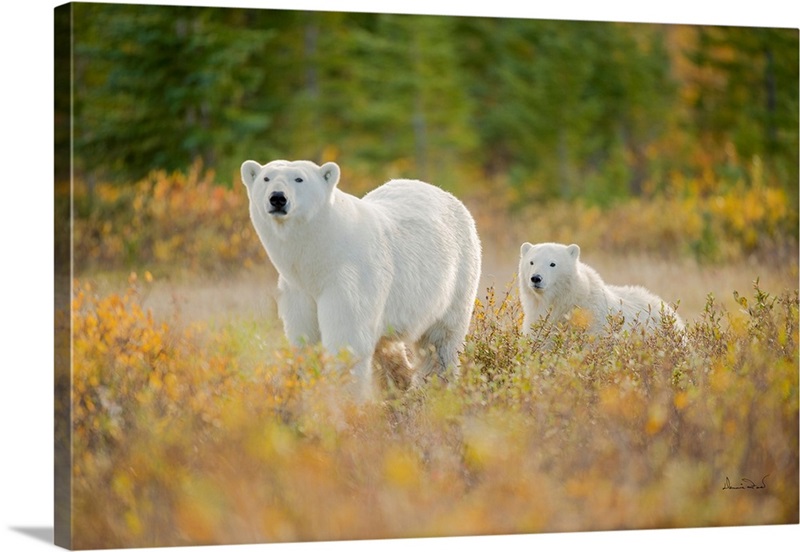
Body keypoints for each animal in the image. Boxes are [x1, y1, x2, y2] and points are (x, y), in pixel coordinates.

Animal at [241, 159, 482, 401]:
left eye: (299, 178)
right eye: (266, 178)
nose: (277, 198)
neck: (319, 252)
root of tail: (446, 194)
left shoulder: (349, 276)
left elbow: (347, 338)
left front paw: (344, 398)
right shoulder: (297, 288)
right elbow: (304, 338)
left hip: (457, 276)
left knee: (440, 340)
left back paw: (434, 388)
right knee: (388, 345)